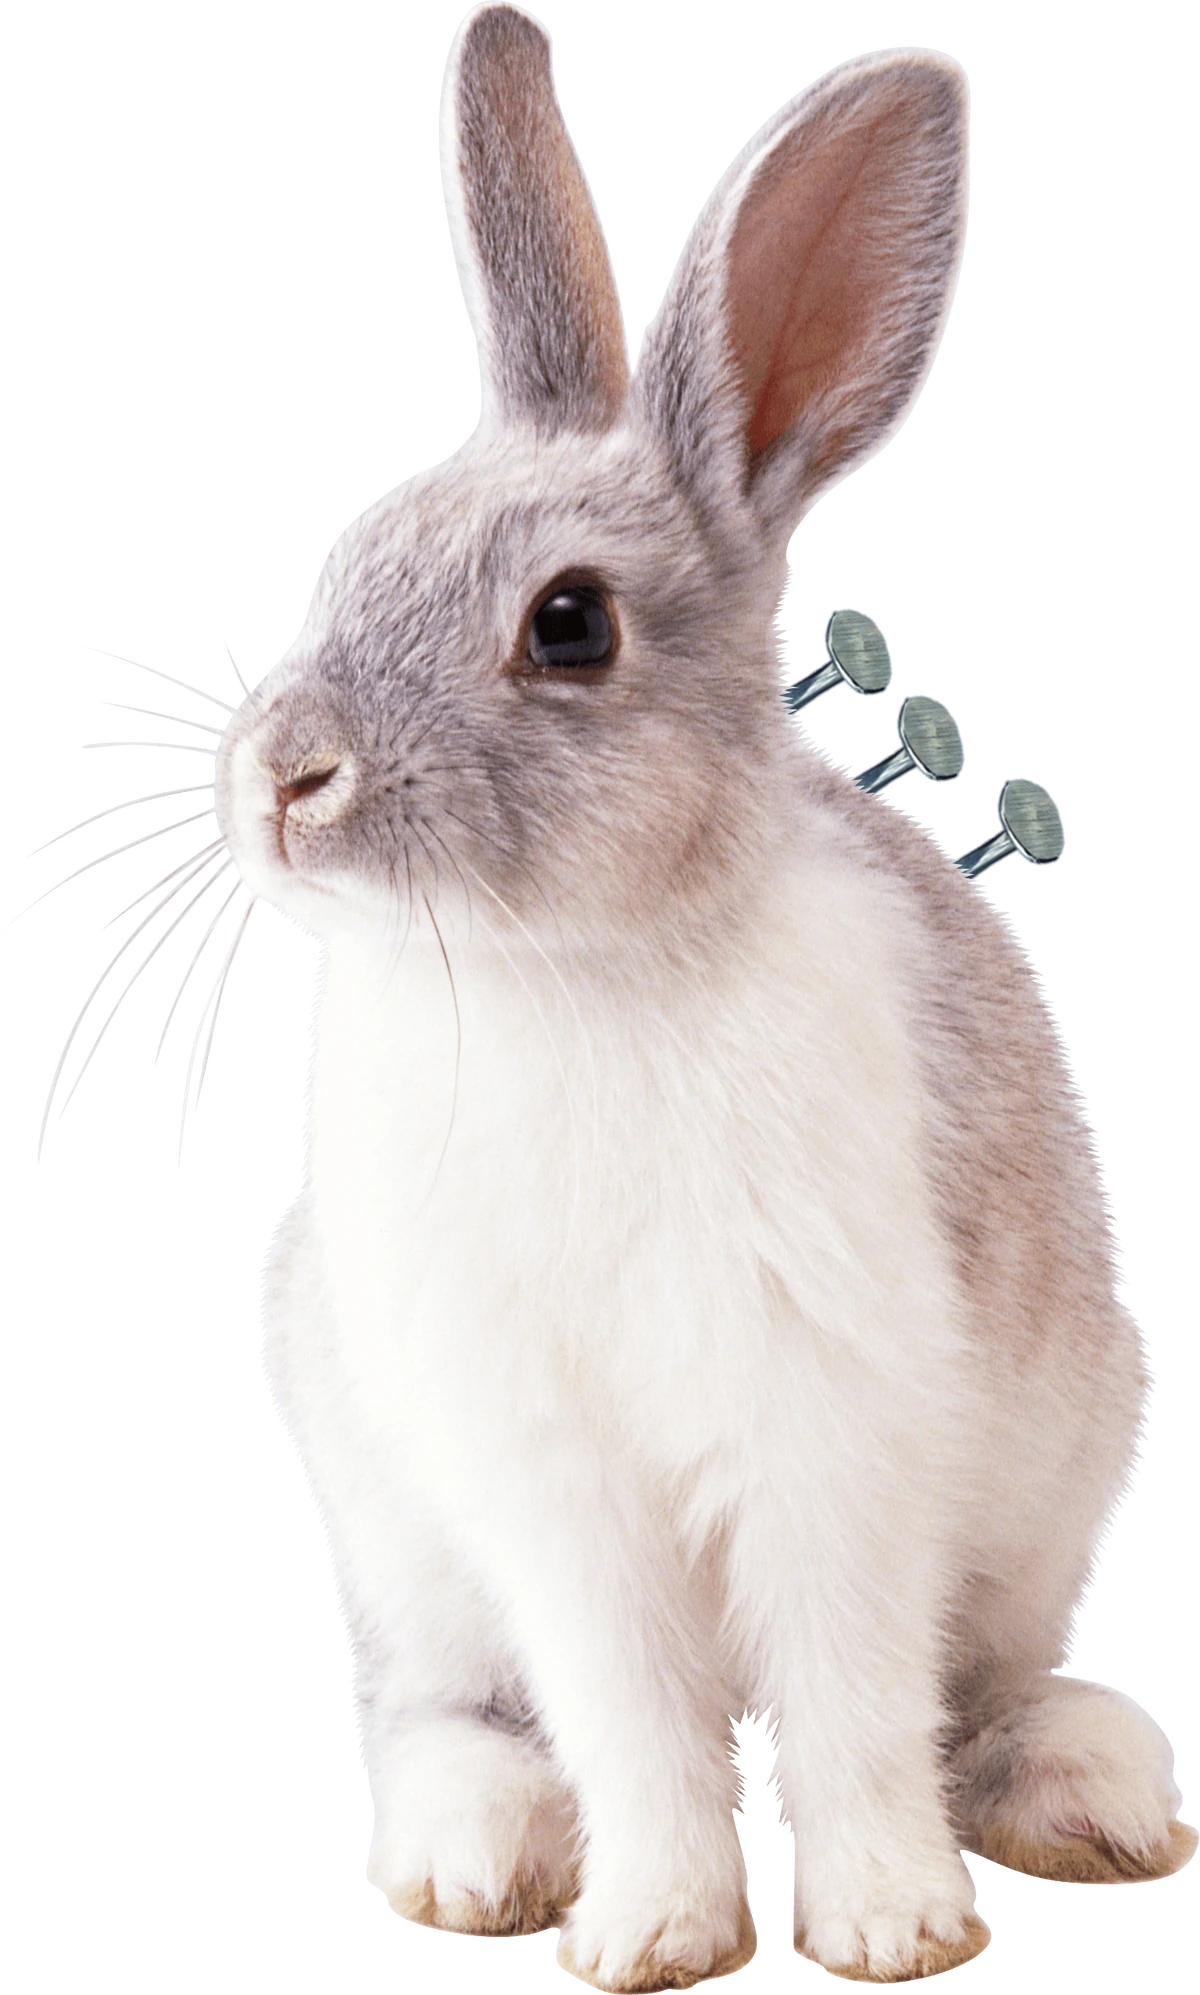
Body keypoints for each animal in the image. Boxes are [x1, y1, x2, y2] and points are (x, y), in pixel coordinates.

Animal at [221, 6, 1196, 1989]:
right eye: (348, 560)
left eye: (571, 623)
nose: (281, 777)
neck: (576, 971)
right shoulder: (551, 1484)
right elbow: (637, 1720)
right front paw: (655, 1935)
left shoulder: (834, 1433)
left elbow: (848, 1706)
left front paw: (895, 1925)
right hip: (394, 1531)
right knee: (438, 1712)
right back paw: (474, 1859)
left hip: (1057, 1479)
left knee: (994, 1679)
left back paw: (1097, 1800)